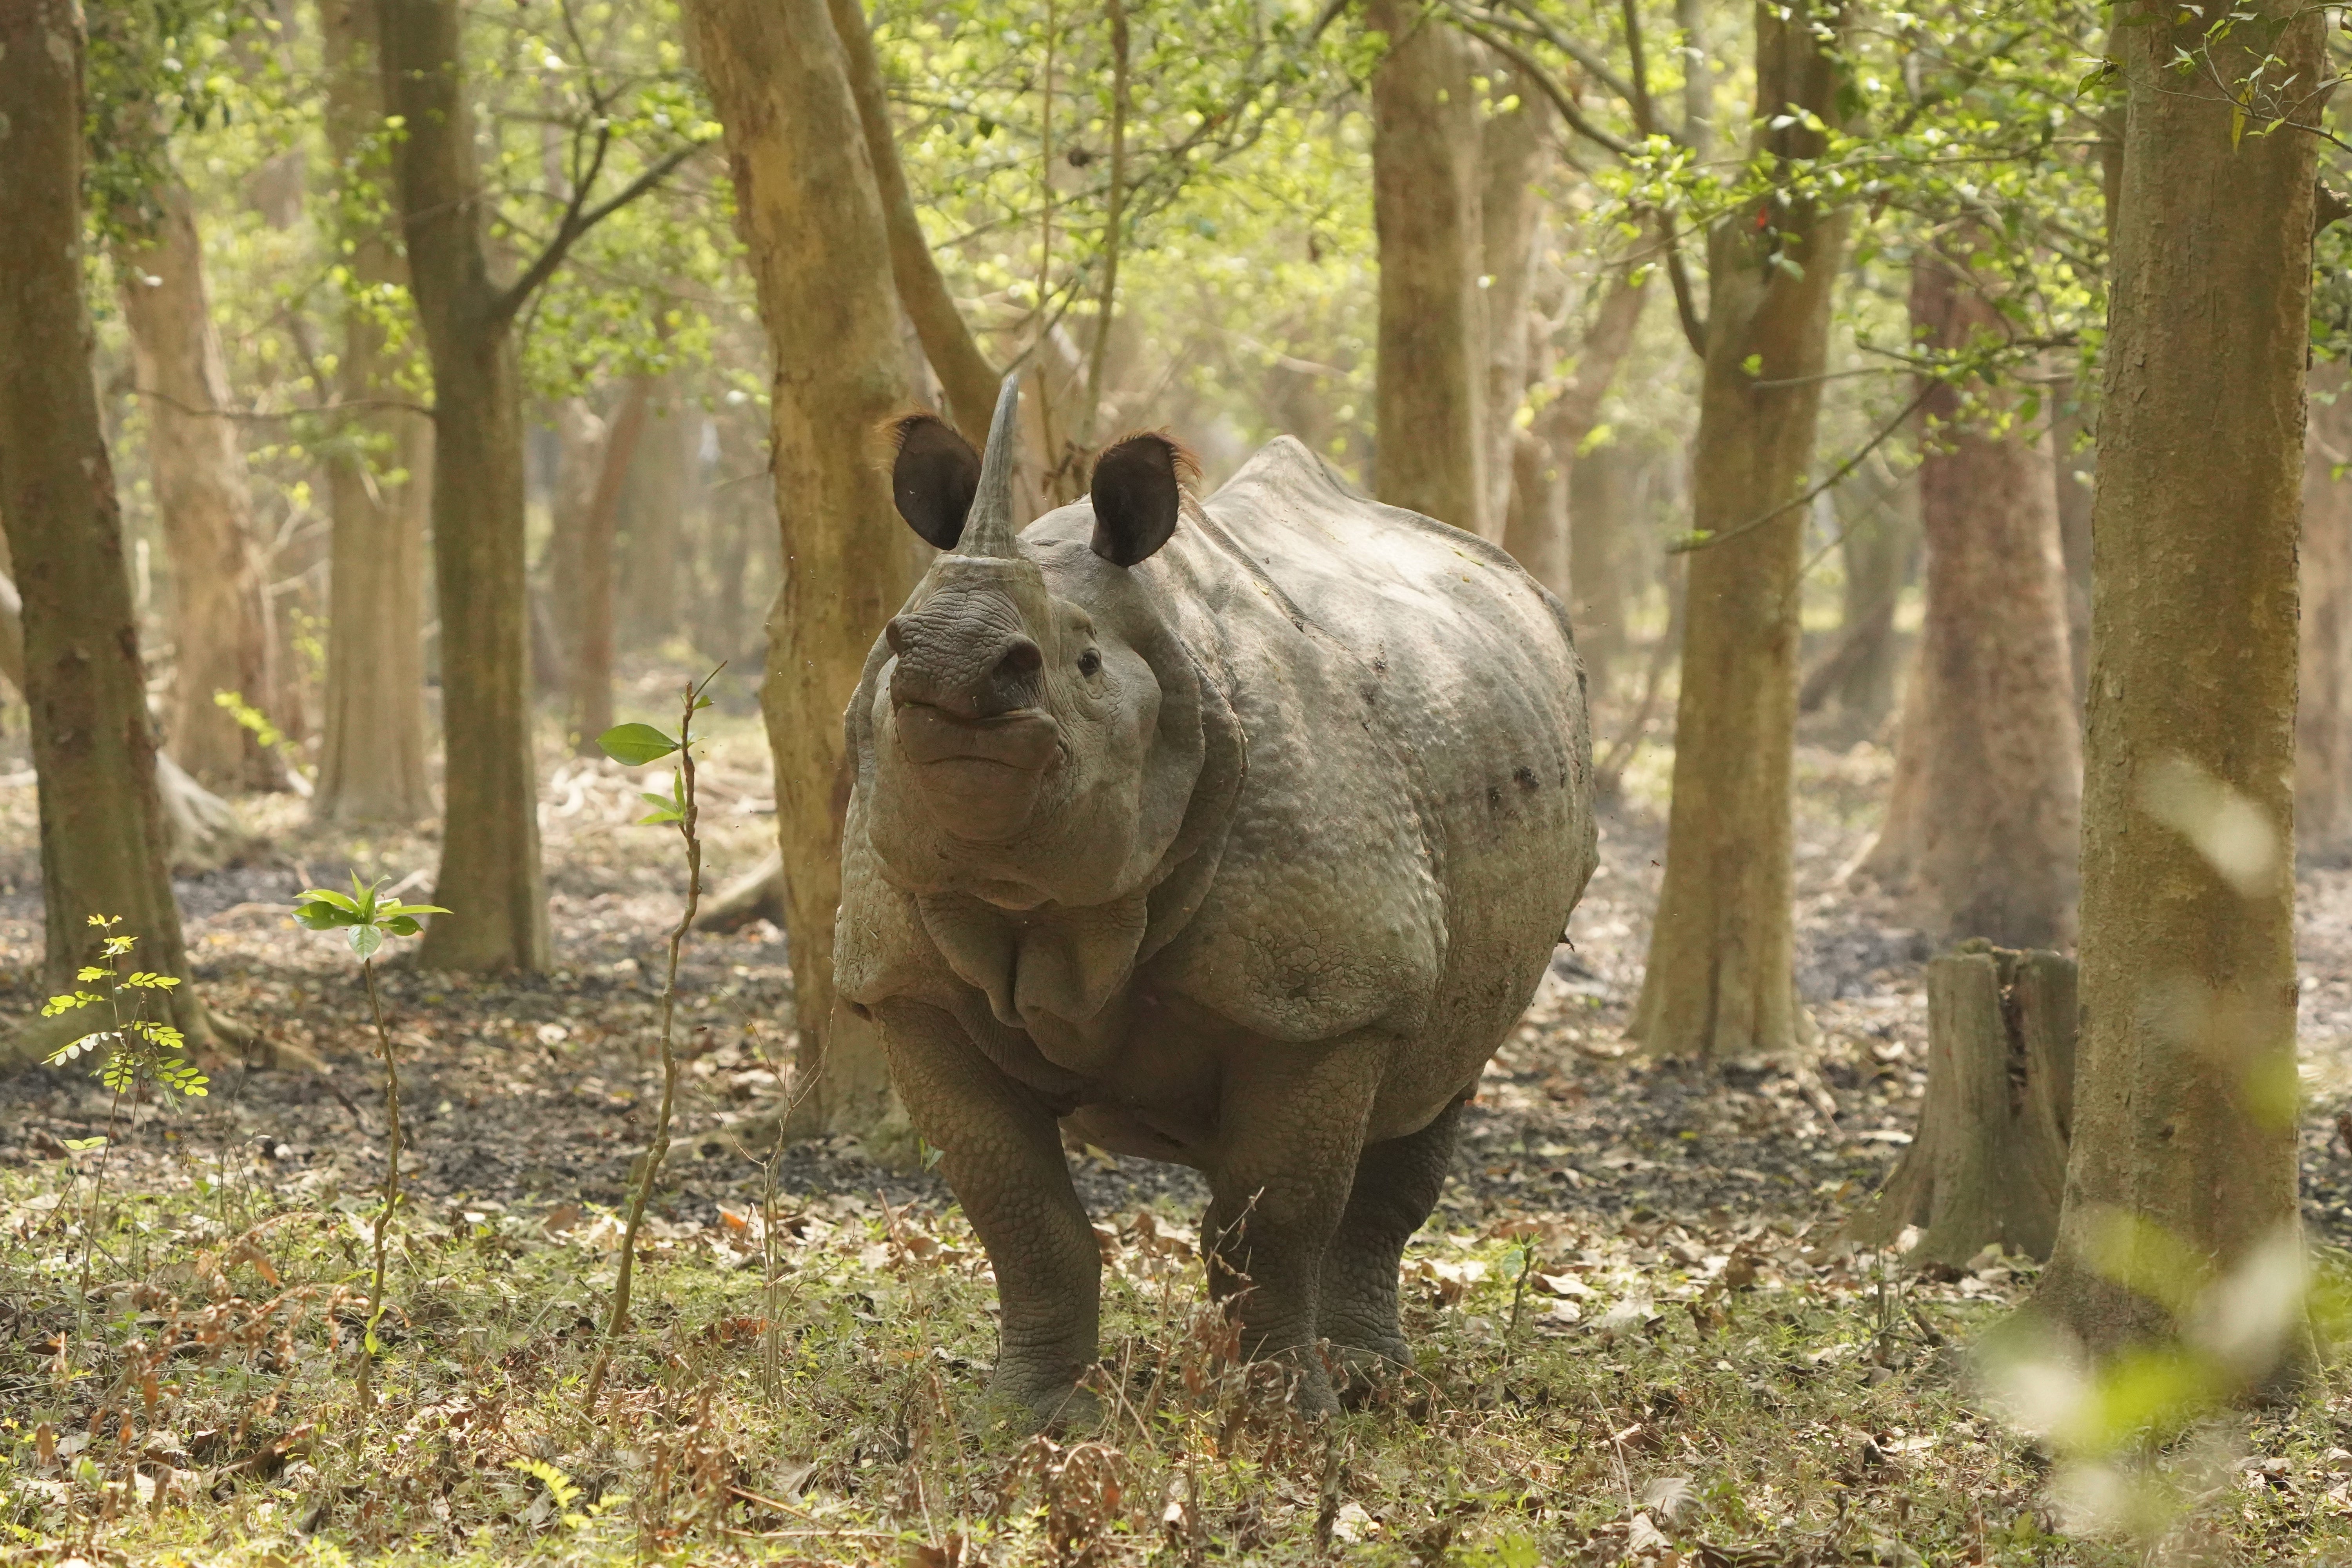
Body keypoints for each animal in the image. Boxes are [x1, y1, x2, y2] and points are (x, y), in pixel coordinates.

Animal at [837, 376, 1595, 1426]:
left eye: (1082, 664)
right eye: (895, 638)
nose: (948, 665)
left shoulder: (1326, 997)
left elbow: (1271, 1223)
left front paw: (1290, 1425)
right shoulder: (907, 982)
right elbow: (1020, 1216)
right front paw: (1028, 1419)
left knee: (1437, 1075)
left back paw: (1367, 1381)